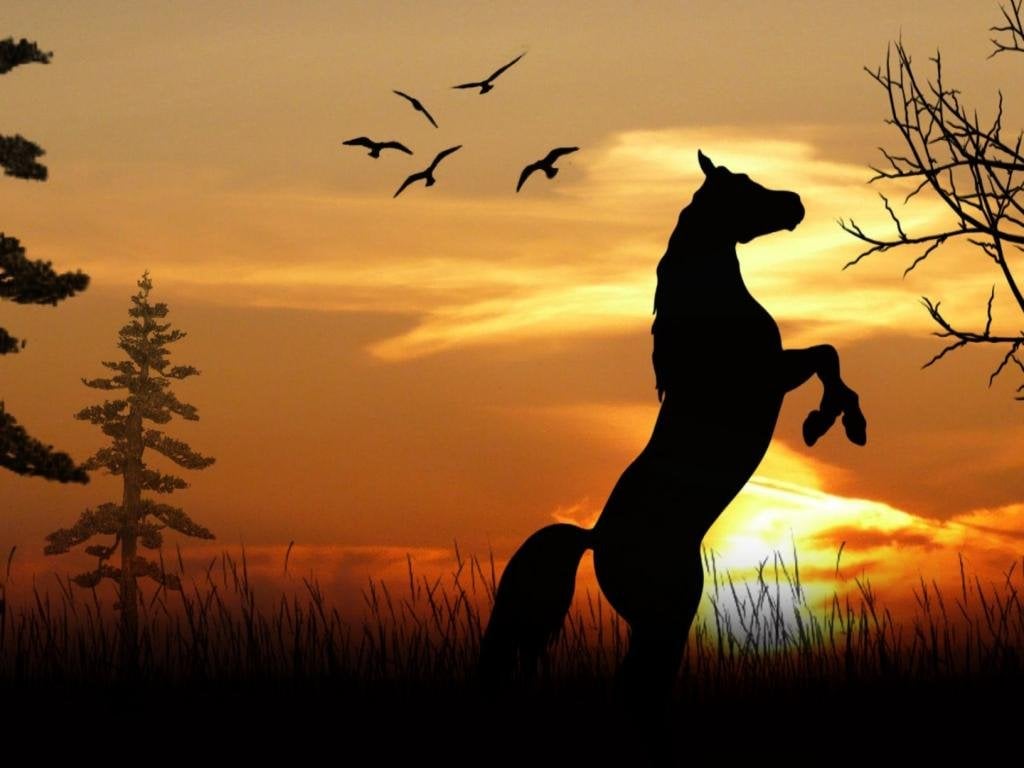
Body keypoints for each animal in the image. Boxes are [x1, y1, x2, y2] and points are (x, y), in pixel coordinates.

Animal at [479, 150, 867, 705]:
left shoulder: (775, 374)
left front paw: (837, 422)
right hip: (667, 614)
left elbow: (827, 354)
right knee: (638, 680)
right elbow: (826, 357)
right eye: (743, 187)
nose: (795, 203)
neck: (710, 315)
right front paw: (834, 422)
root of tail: (595, 537)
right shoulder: (768, 377)